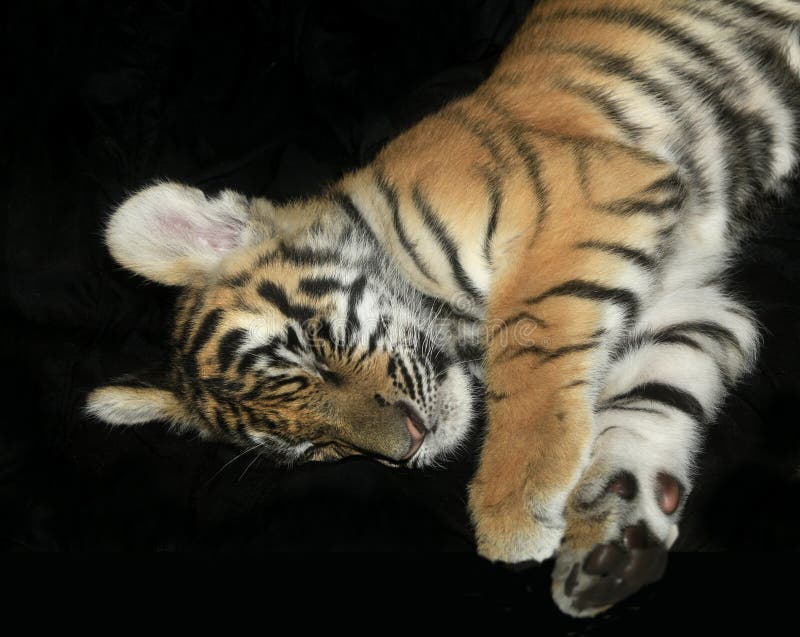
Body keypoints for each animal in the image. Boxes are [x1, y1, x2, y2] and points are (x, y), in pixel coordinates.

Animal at [86, 0, 800, 617]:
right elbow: (648, 401)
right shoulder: (686, 300)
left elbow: (532, 342)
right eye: (314, 449)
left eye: (313, 351)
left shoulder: (590, 197)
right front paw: (609, 539)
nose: (408, 450)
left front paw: (510, 510)